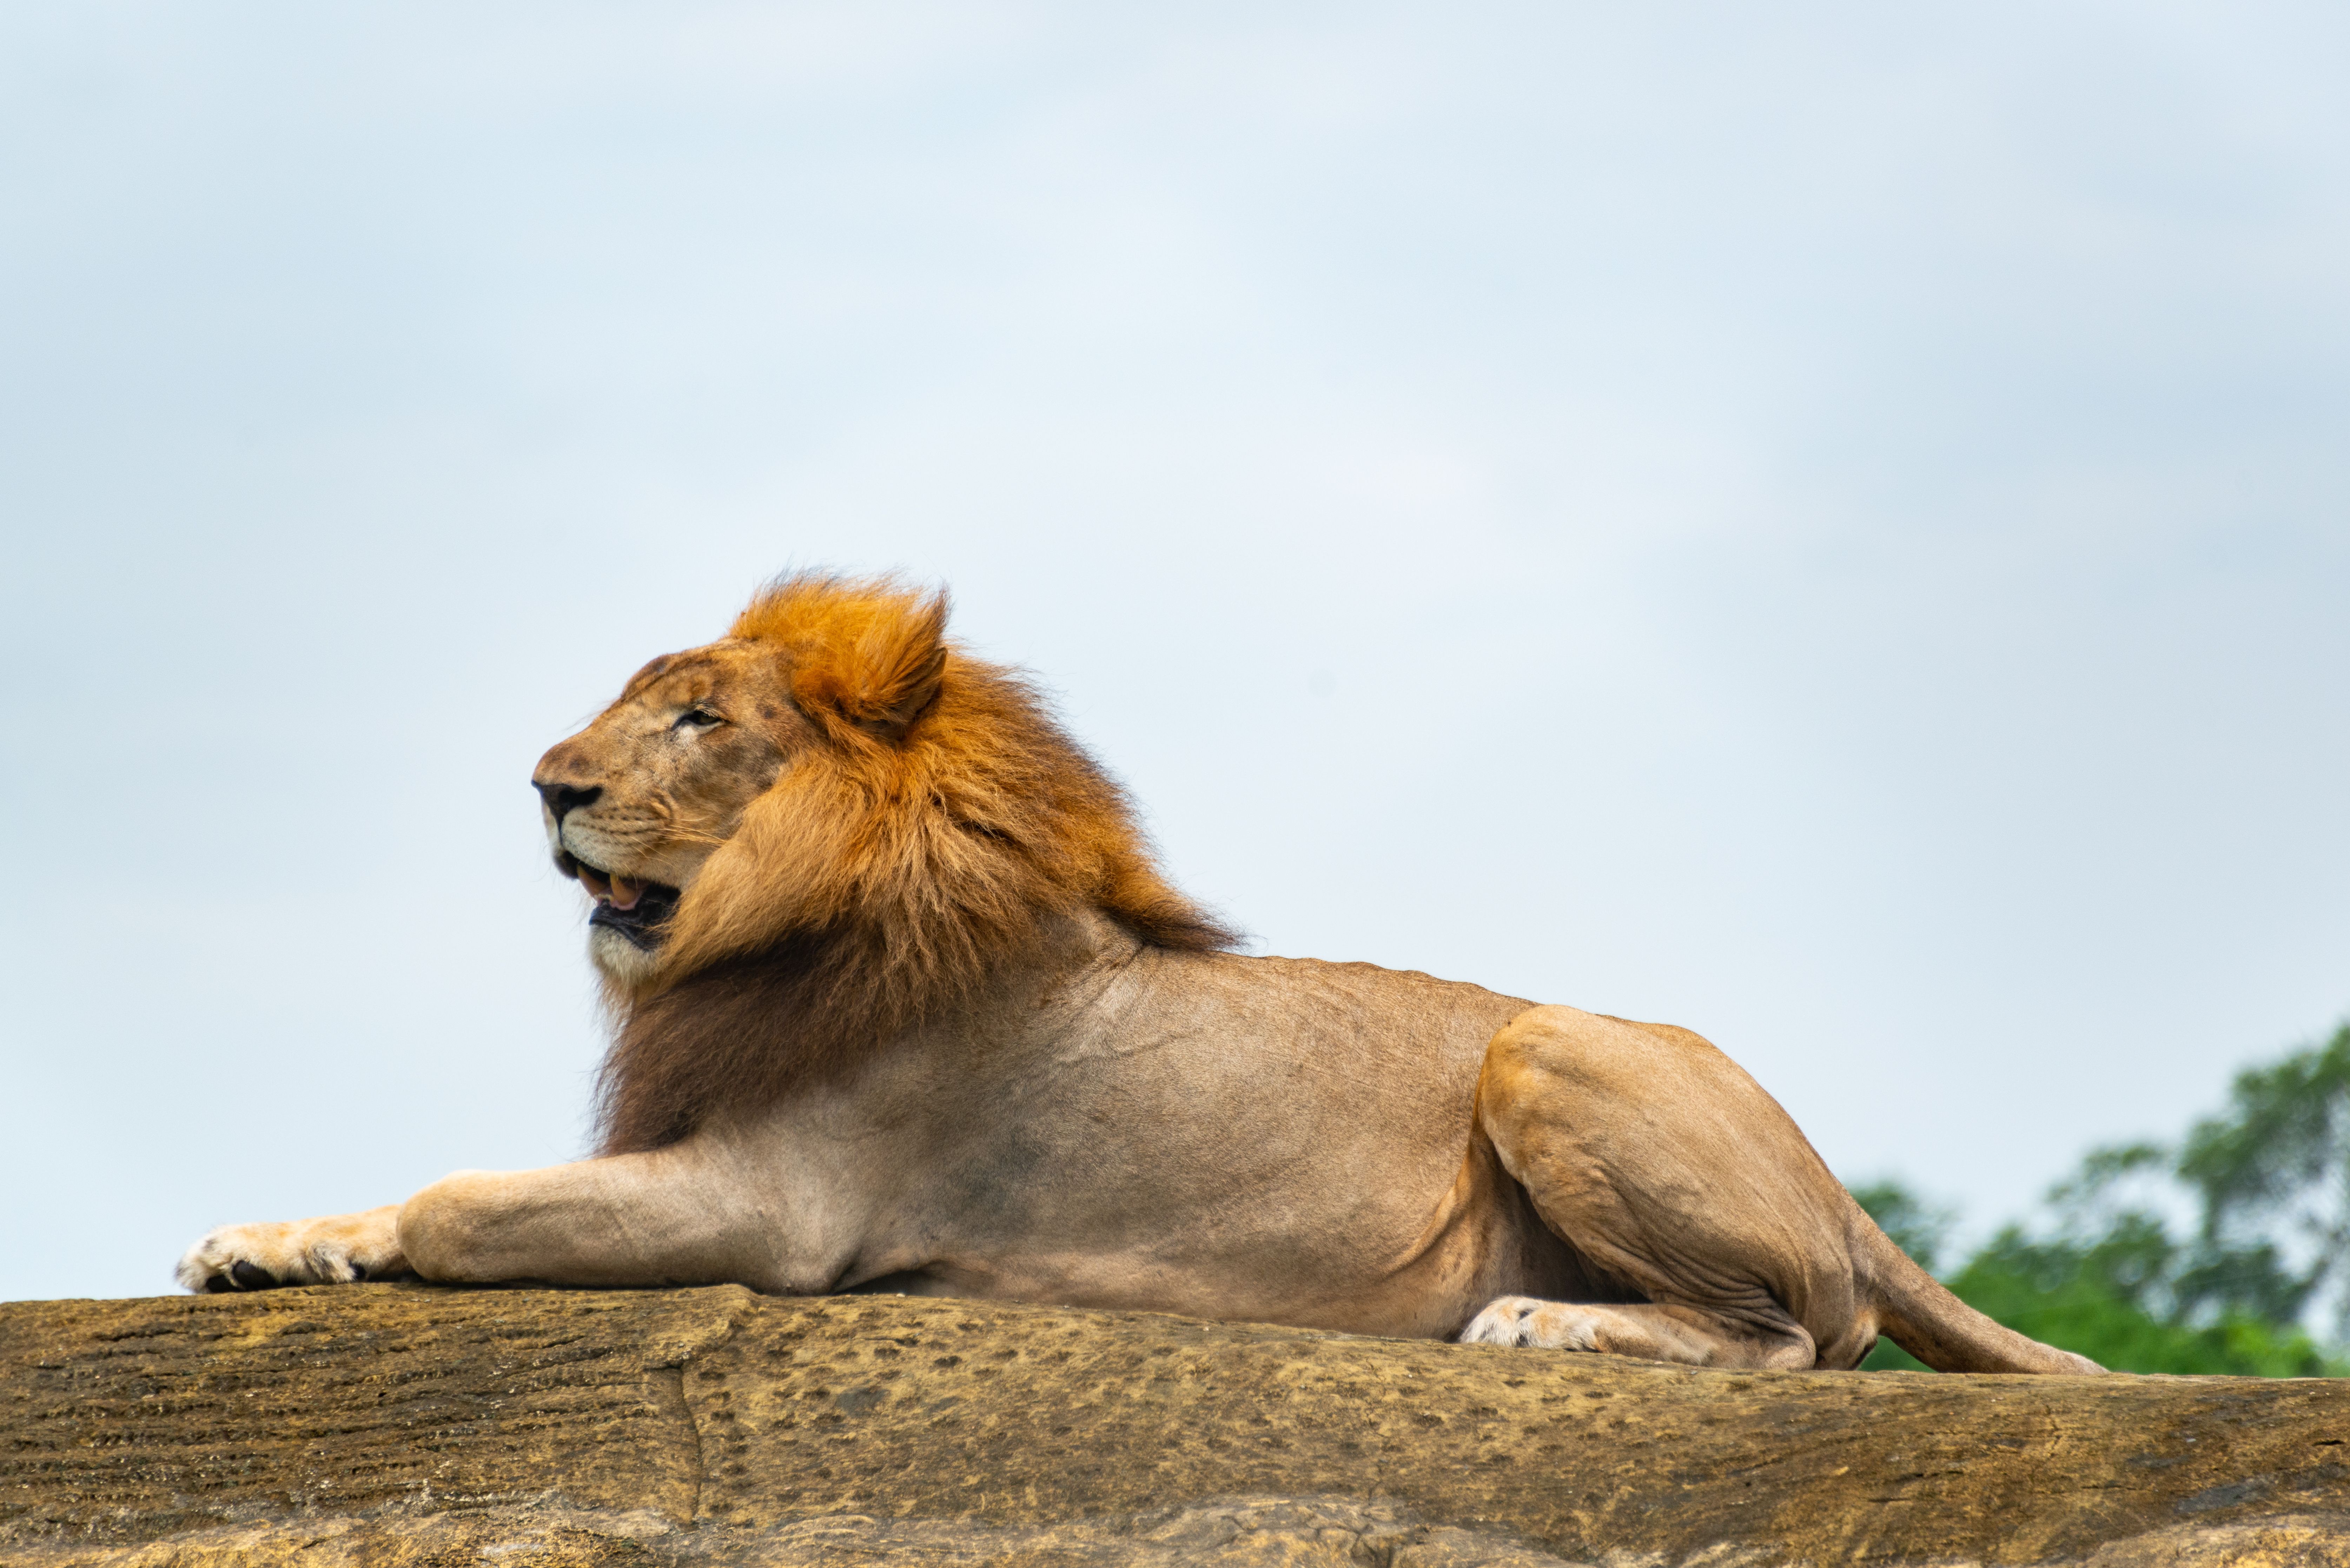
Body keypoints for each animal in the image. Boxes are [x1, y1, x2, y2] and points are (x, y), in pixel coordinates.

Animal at [177, 573, 2097, 1374]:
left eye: (700, 719)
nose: (545, 784)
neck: (783, 920)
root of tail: (1836, 1184)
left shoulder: (781, 1201)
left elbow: (462, 1201)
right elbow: (422, 1188)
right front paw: (254, 1240)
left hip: (1547, 1047)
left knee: (1801, 1340)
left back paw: (1547, 1320)